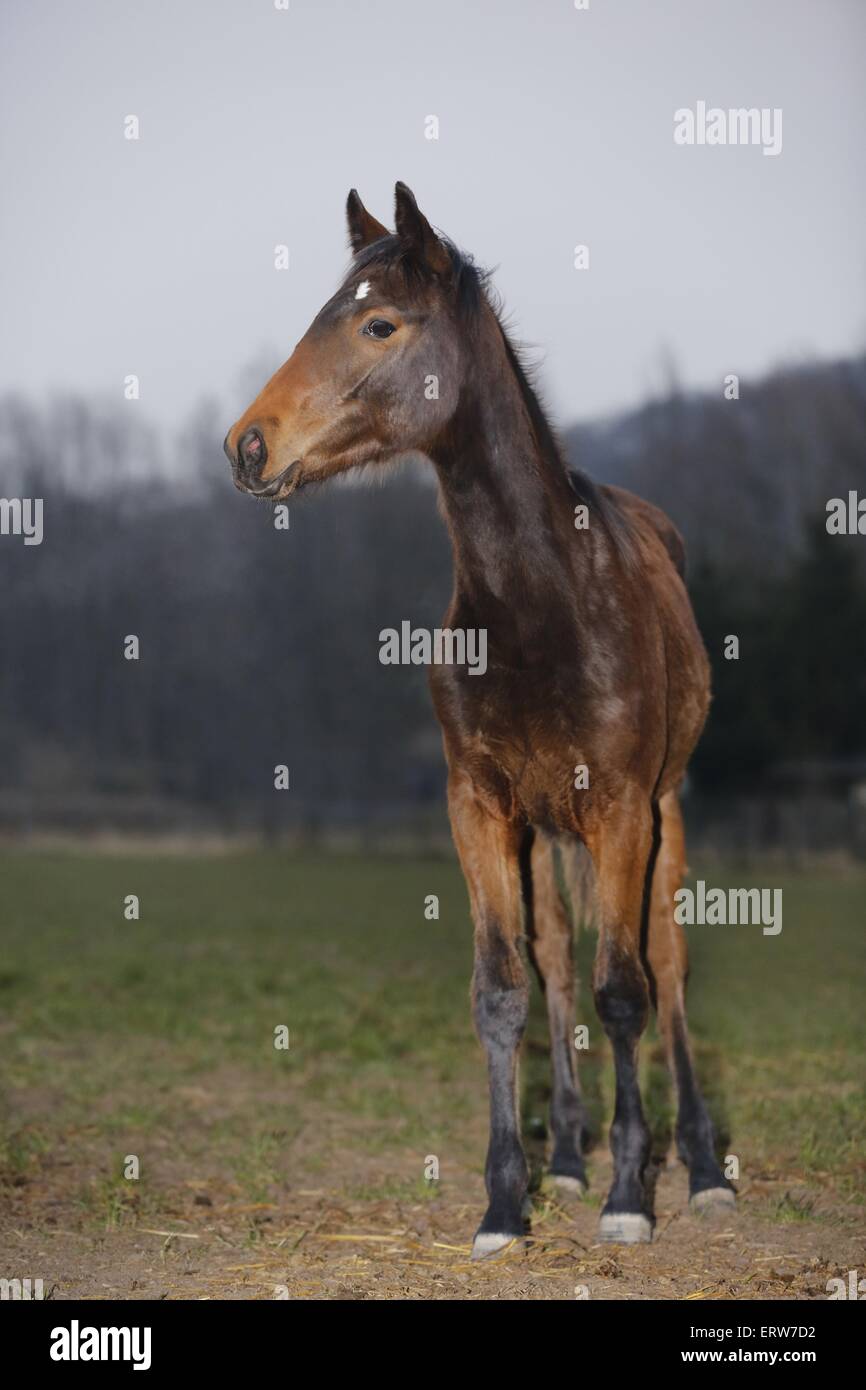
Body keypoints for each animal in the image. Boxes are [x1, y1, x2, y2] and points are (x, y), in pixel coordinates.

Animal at [224, 182, 735, 1256]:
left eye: (379, 324)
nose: (247, 446)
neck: (540, 603)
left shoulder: (620, 806)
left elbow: (623, 990)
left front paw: (632, 1198)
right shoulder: (481, 808)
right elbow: (503, 992)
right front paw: (509, 1203)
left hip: (663, 809)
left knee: (664, 965)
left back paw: (703, 1168)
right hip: (549, 829)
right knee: (555, 962)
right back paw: (568, 1159)